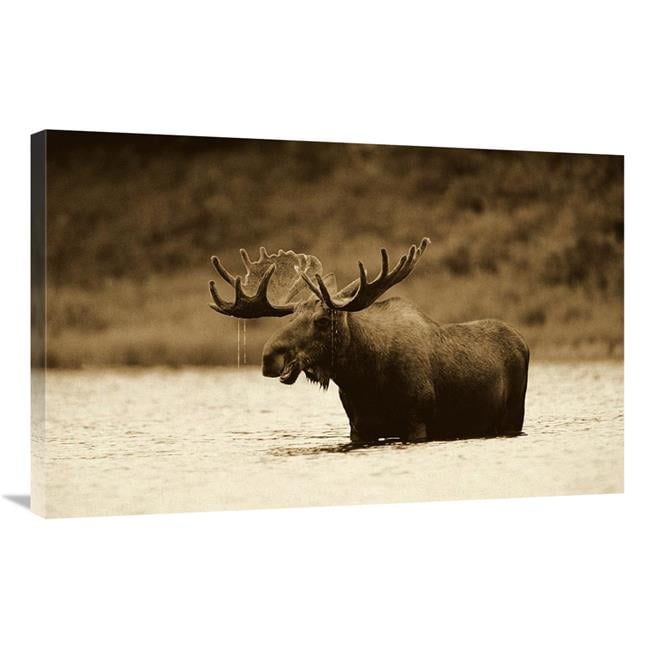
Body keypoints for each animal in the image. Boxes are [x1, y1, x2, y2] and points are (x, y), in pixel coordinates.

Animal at [208, 239, 529, 444]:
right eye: (291, 317)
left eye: (323, 320)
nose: (269, 357)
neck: (364, 378)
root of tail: (523, 341)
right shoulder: (359, 426)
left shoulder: (417, 421)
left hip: (514, 414)